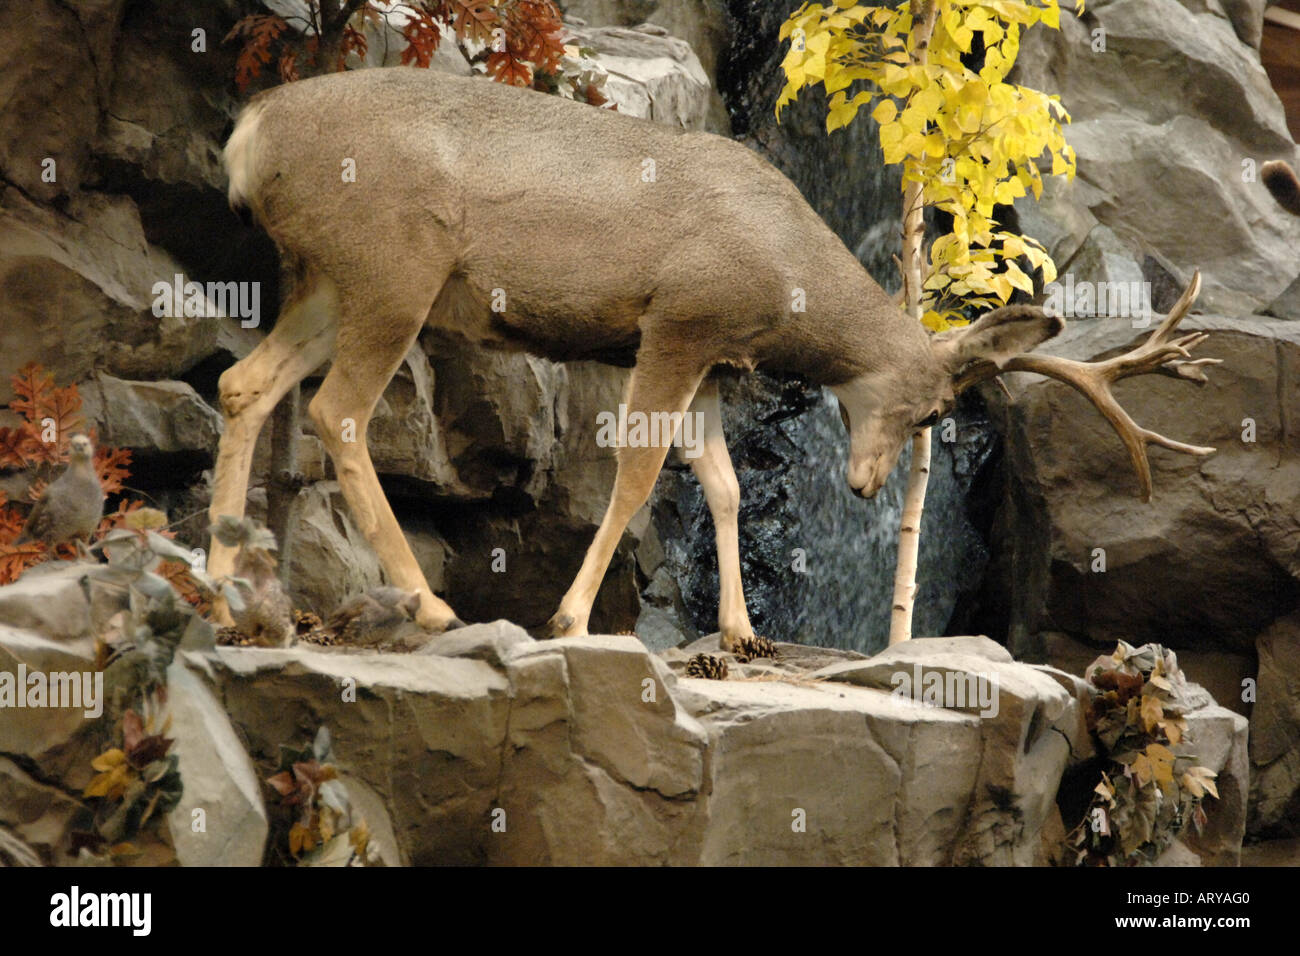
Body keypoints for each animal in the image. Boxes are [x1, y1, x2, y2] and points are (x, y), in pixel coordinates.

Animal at [210, 66, 1218, 650]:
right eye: (935, 411)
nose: (861, 488)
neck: (785, 274)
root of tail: (248, 135)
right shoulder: (679, 320)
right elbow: (640, 469)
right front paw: (570, 615)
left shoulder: (713, 362)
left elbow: (724, 484)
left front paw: (739, 632)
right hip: (396, 266)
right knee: (338, 410)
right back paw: (429, 605)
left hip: (329, 282)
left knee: (242, 382)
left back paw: (223, 594)